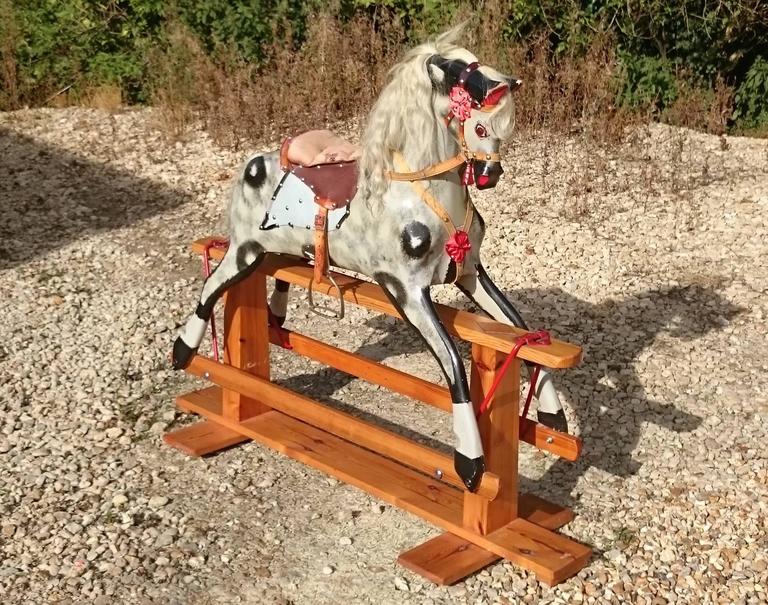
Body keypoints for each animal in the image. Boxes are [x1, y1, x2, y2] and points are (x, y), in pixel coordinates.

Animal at [172, 27, 568, 492]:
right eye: (479, 120)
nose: (490, 175)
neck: (416, 192)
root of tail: (255, 160)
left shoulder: (469, 273)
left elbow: (523, 332)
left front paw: (553, 415)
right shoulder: (405, 288)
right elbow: (453, 363)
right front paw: (470, 463)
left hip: (278, 249)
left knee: (280, 275)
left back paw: (274, 317)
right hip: (244, 249)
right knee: (210, 287)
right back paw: (182, 351)